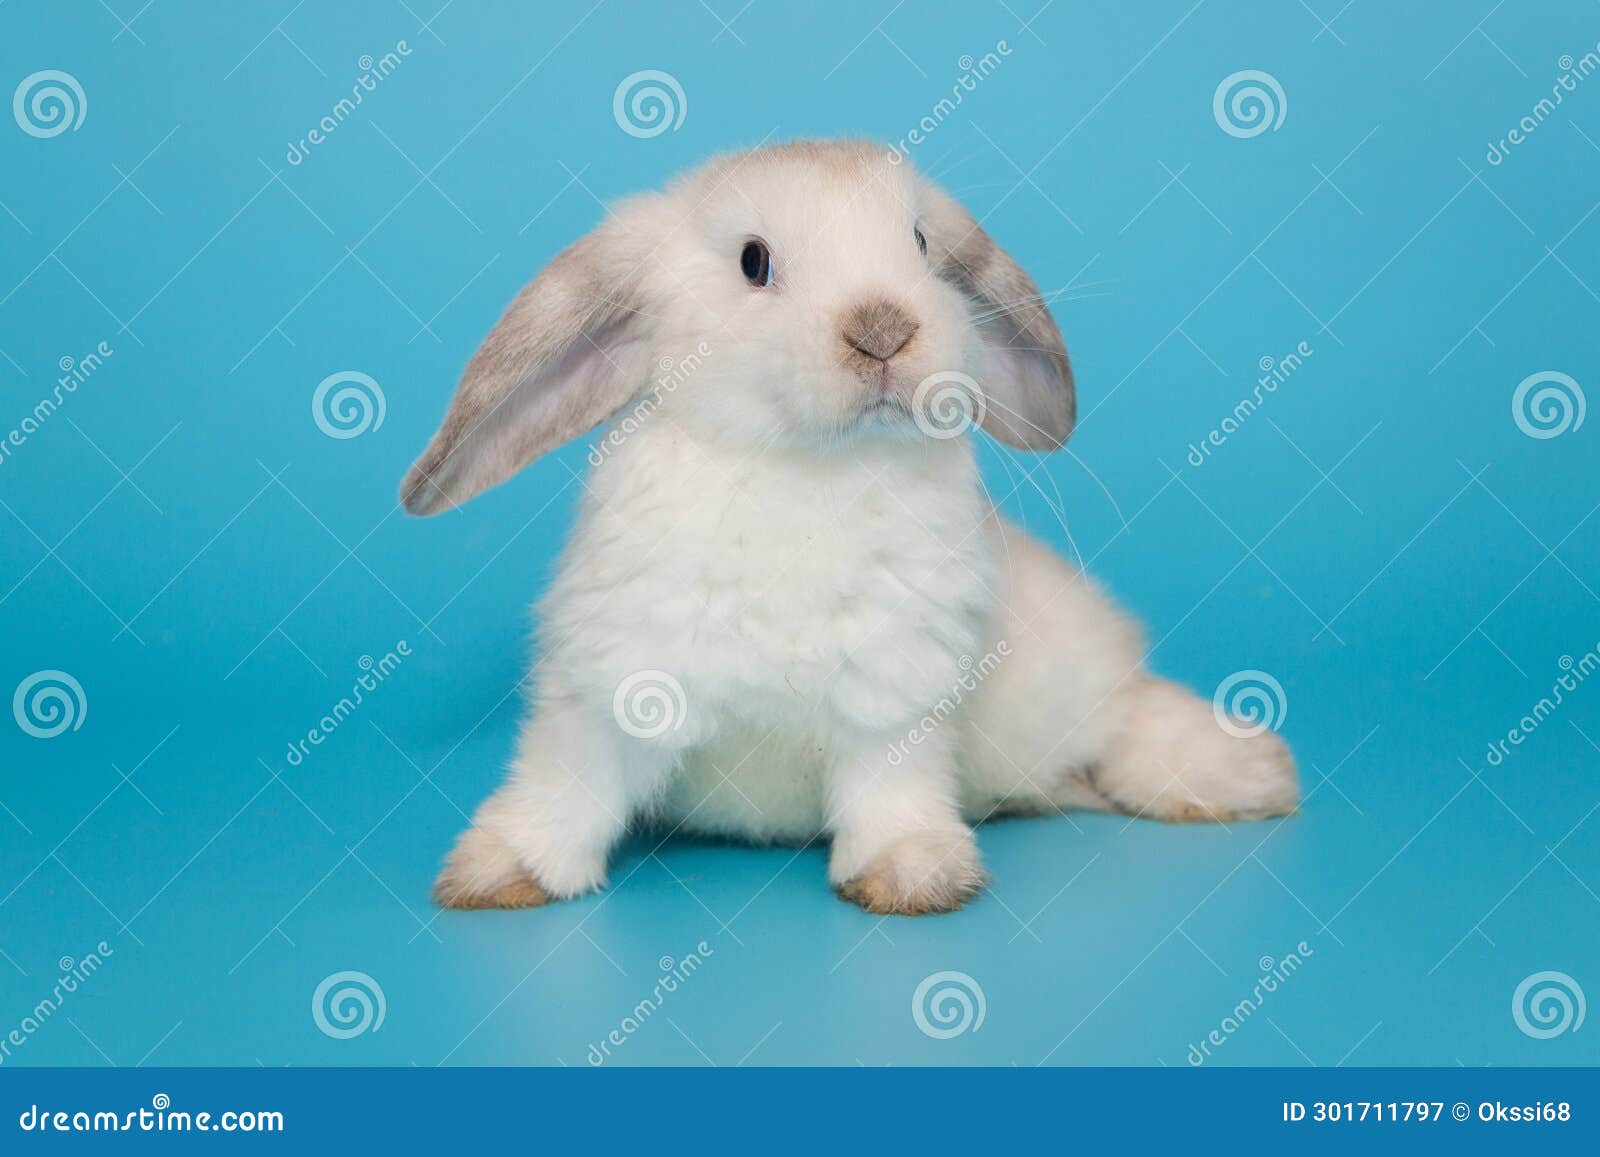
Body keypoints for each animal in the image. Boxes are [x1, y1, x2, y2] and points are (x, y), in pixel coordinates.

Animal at [400, 139, 1299, 916]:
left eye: (921, 243)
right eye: (753, 261)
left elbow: (890, 789)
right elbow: (566, 784)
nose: (883, 329)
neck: (805, 467)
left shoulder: (896, 695)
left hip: (1081, 670)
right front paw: (500, 873)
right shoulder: (608, 685)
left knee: (1131, 714)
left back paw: (1251, 773)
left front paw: (912, 875)